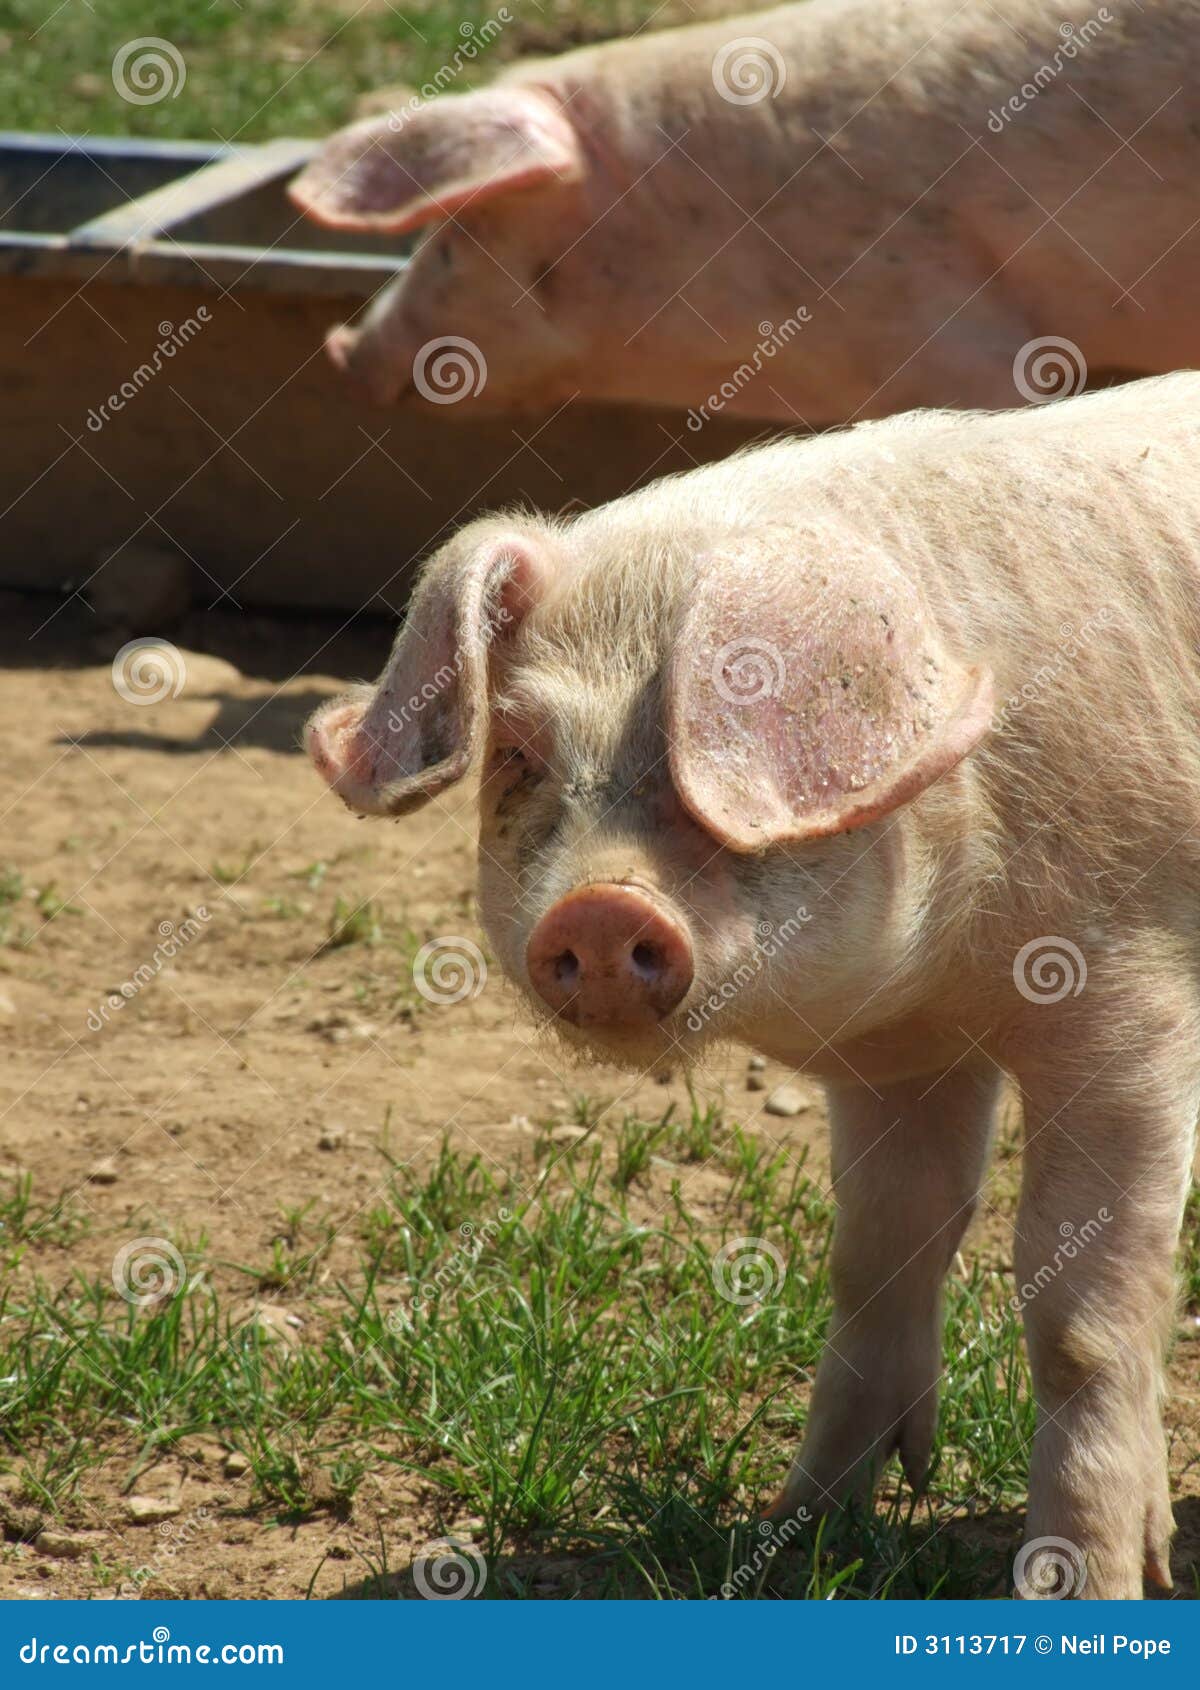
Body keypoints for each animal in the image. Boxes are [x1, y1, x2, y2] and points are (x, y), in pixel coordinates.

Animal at [307, 371, 1200, 1599]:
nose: (600, 909)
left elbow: (1082, 1316)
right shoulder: (900, 1060)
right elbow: (875, 1255)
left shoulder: (1130, 996)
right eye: (522, 754)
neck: (946, 971)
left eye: (703, 759)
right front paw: (807, 1534)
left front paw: (1092, 1588)